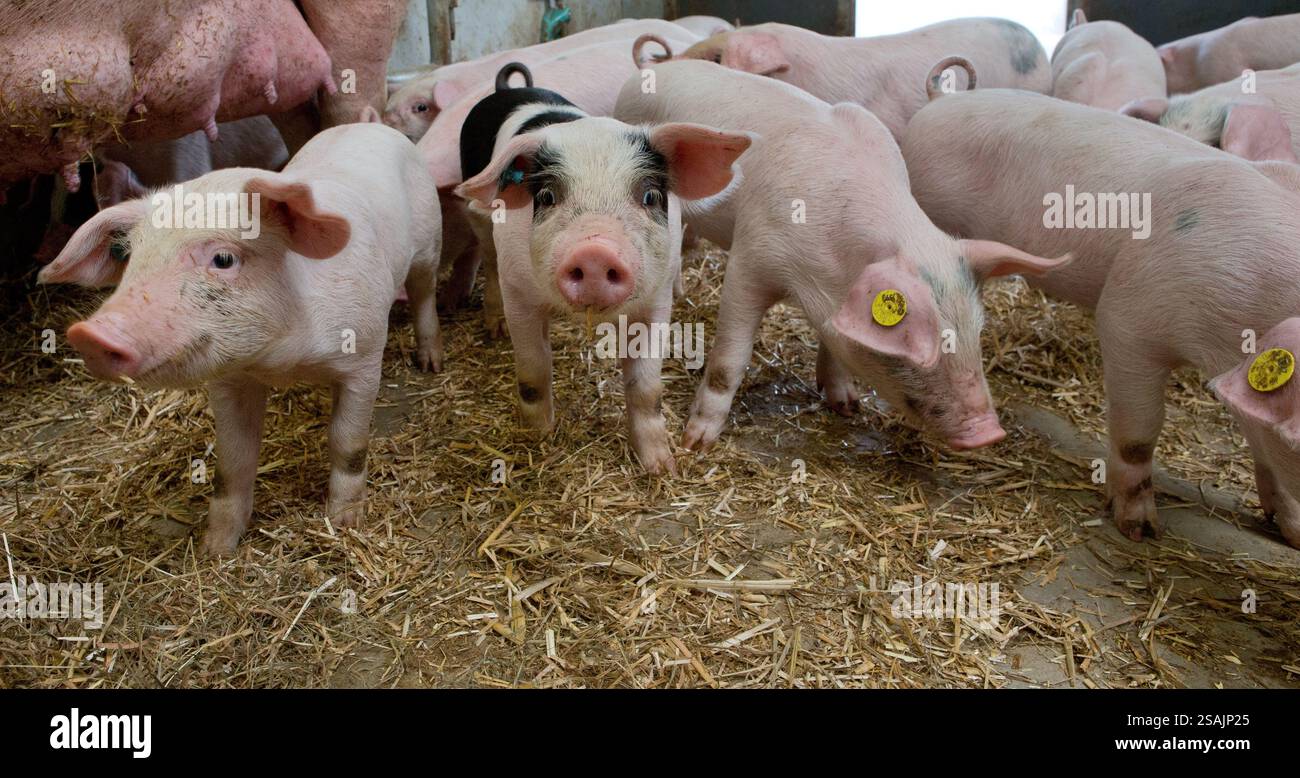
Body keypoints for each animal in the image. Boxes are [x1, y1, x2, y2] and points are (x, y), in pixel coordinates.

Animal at [36, 123, 442, 555]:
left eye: (224, 259)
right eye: (131, 257)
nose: (90, 333)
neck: (282, 358)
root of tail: (372, 125)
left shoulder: (364, 357)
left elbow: (348, 442)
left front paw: (345, 524)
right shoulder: (229, 381)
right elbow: (233, 461)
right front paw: (214, 549)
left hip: (429, 242)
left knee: (424, 290)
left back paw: (430, 362)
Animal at [454, 78, 750, 473]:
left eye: (650, 195)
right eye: (546, 196)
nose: (595, 251)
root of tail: (509, 88)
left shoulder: (654, 303)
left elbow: (647, 387)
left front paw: (662, 467)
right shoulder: (519, 294)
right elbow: (533, 371)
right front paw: (539, 438)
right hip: (478, 216)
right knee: (488, 259)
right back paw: (495, 328)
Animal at [615, 60, 1070, 453]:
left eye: (977, 331)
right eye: (916, 341)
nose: (989, 433)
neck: (819, 275)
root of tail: (645, 73)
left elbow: (835, 346)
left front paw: (847, 406)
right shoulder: (751, 258)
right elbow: (731, 360)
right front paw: (696, 443)